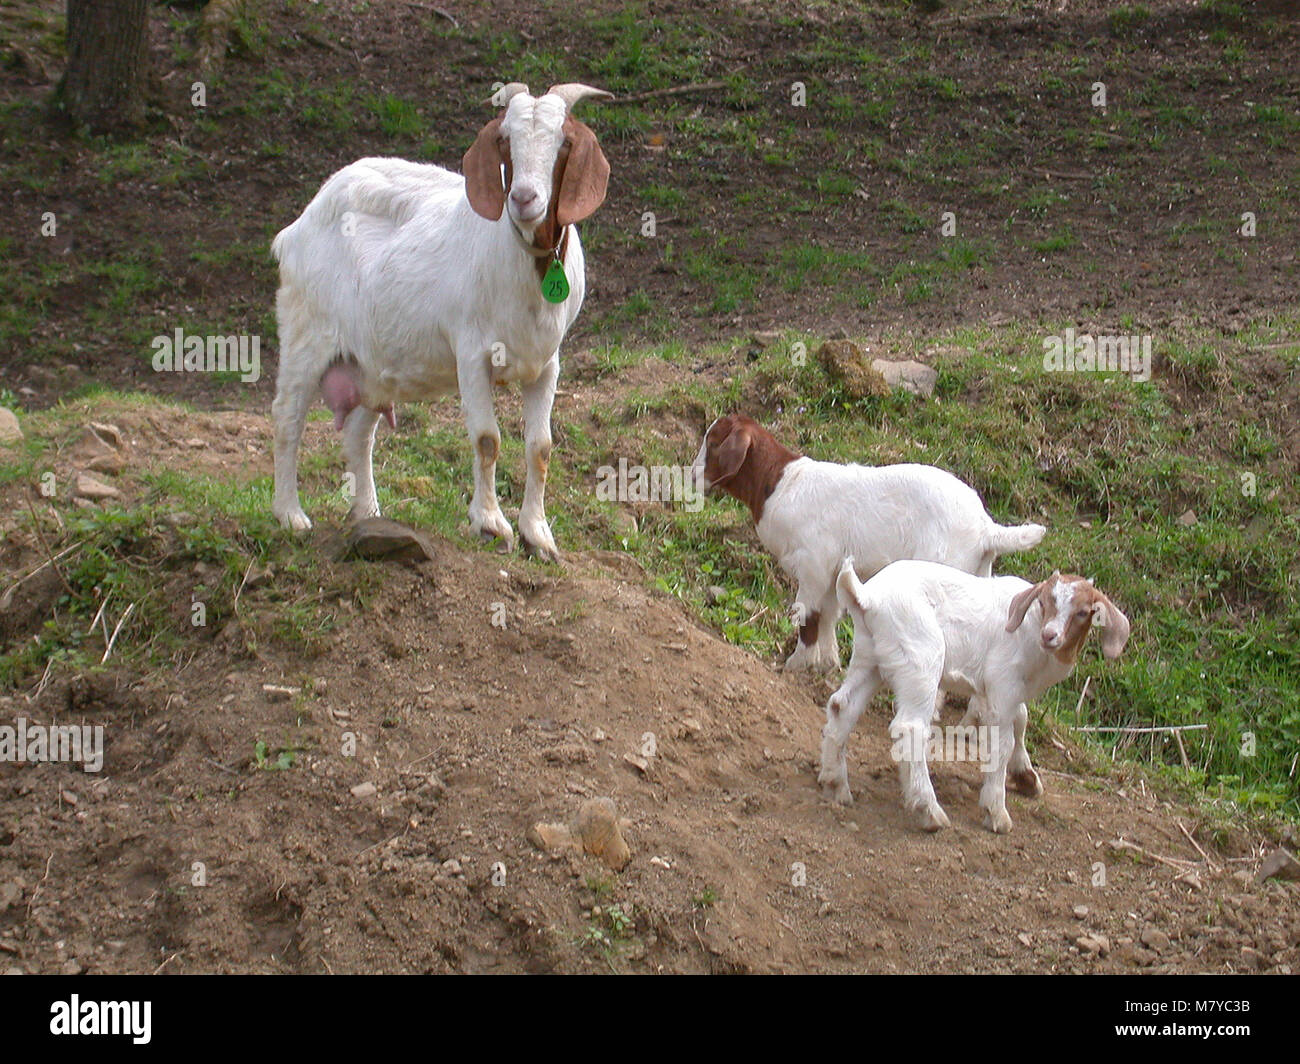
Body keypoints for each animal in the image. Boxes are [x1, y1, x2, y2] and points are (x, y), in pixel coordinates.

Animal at [269, 82, 613, 561]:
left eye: (563, 142)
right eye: (505, 140)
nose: (523, 198)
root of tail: (297, 227)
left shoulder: (546, 363)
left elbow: (540, 447)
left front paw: (538, 534)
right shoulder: (471, 353)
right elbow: (487, 439)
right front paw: (491, 524)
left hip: (373, 362)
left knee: (358, 434)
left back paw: (367, 513)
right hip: (306, 331)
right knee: (288, 418)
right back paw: (290, 515)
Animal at [690, 413, 1047, 670]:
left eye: (714, 442)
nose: (692, 475)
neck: (781, 484)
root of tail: (986, 528)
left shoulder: (814, 563)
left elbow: (807, 615)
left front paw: (794, 665)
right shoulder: (834, 570)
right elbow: (829, 615)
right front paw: (827, 665)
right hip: (977, 573)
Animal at [820, 558, 1130, 833]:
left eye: (1083, 611)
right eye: (1044, 601)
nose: (1050, 635)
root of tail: (868, 597)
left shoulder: (1007, 690)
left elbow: (1021, 720)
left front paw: (1026, 777)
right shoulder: (1002, 681)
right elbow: (1003, 741)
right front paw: (996, 811)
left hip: (870, 657)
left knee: (841, 706)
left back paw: (836, 784)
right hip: (920, 660)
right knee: (910, 728)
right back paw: (929, 810)